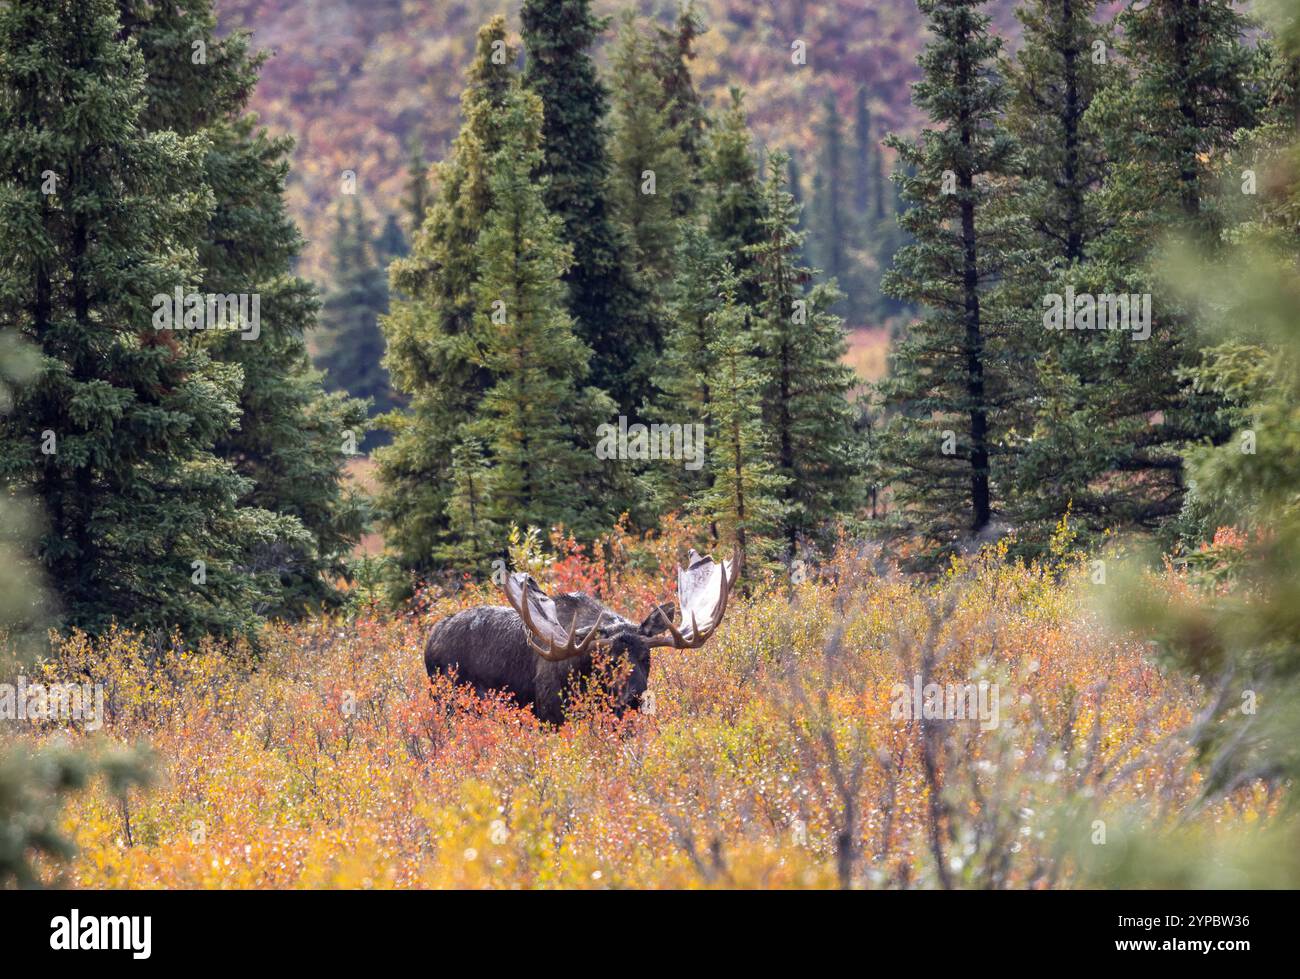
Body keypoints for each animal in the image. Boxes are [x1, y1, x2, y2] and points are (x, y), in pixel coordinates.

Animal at [424, 550, 734, 724]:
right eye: (609, 662)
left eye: (647, 658)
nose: (634, 696)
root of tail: (431, 637)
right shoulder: (550, 714)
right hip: (448, 702)